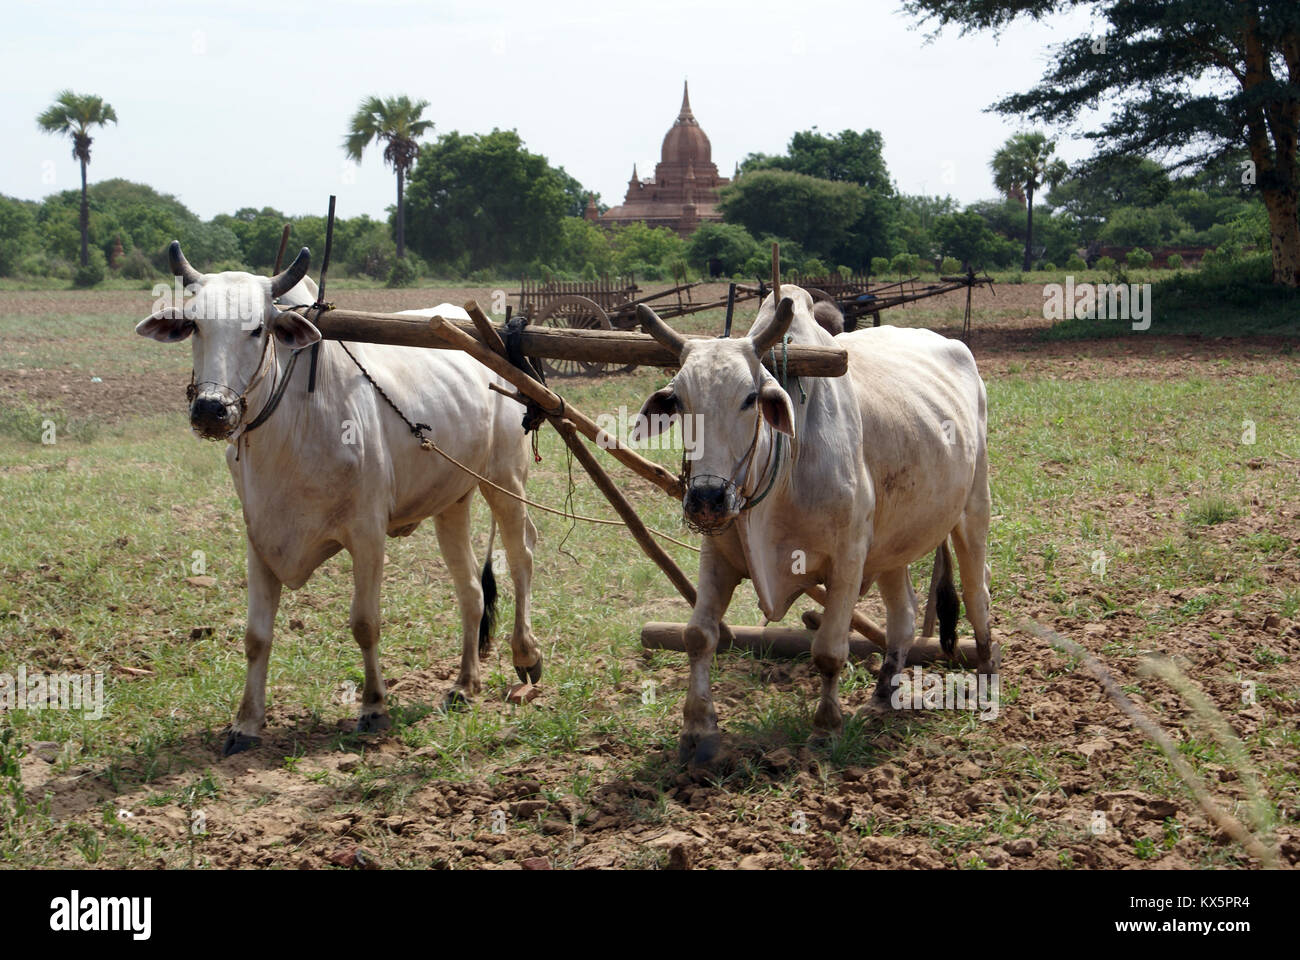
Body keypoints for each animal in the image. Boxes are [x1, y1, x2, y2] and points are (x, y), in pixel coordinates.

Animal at [136, 242, 541, 756]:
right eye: (195, 326)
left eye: (257, 329)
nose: (211, 409)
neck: (292, 428)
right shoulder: (259, 538)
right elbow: (256, 636)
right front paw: (246, 723)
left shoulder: (367, 535)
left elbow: (365, 623)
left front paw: (373, 707)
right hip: (453, 500)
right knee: (470, 588)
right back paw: (465, 684)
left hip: (506, 479)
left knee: (521, 557)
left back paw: (526, 654)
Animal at [632, 287, 997, 765]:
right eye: (678, 401)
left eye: (749, 398)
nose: (707, 498)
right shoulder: (719, 556)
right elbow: (698, 636)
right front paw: (698, 730)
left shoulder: (847, 560)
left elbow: (827, 651)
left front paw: (826, 729)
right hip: (891, 544)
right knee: (903, 616)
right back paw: (882, 696)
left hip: (973, 508)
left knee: (977, 593)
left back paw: (987, 671)